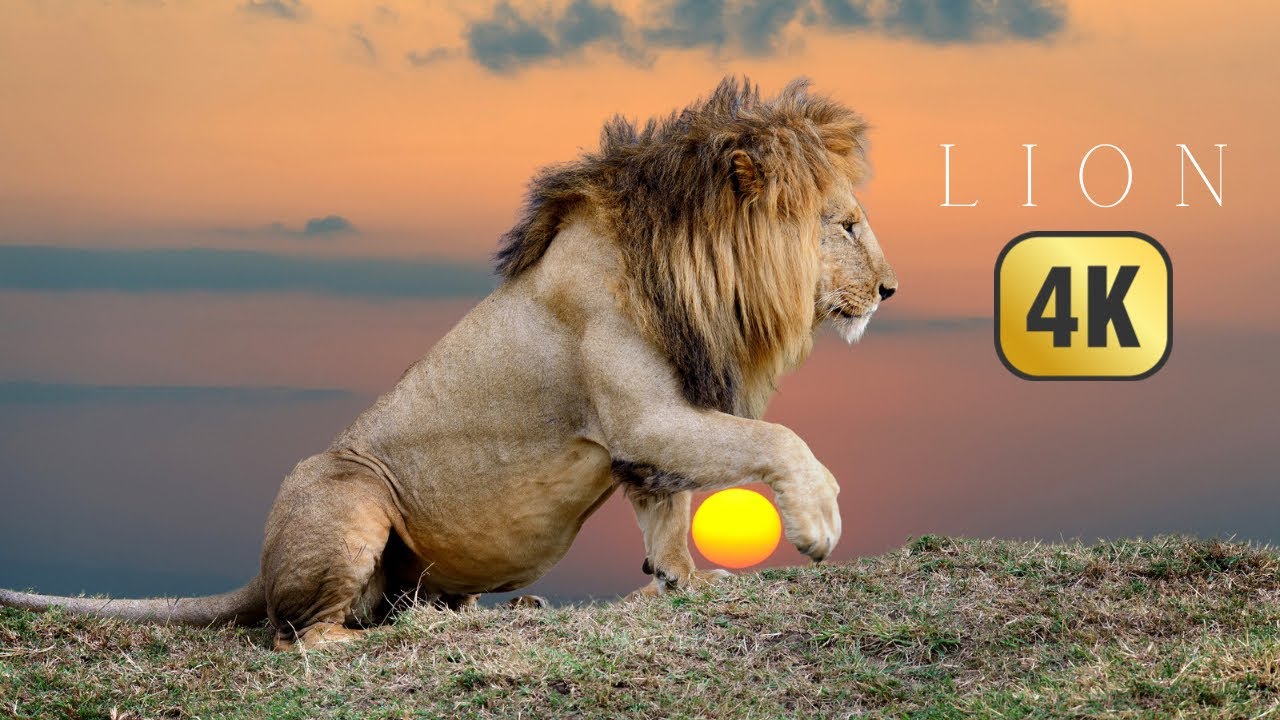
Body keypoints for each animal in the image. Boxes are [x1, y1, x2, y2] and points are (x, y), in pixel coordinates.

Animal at [0, 77, 897, 650]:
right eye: (846, 224)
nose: (891, 290)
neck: (693, 272)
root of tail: (257, 571)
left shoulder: (650, 433)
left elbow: (667, 512)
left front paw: (686, 582)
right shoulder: (646, 416)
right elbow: (776, 441)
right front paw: (817, 523)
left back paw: (492, 611)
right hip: (350, 491)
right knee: (304, 636)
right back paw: (402, 631)